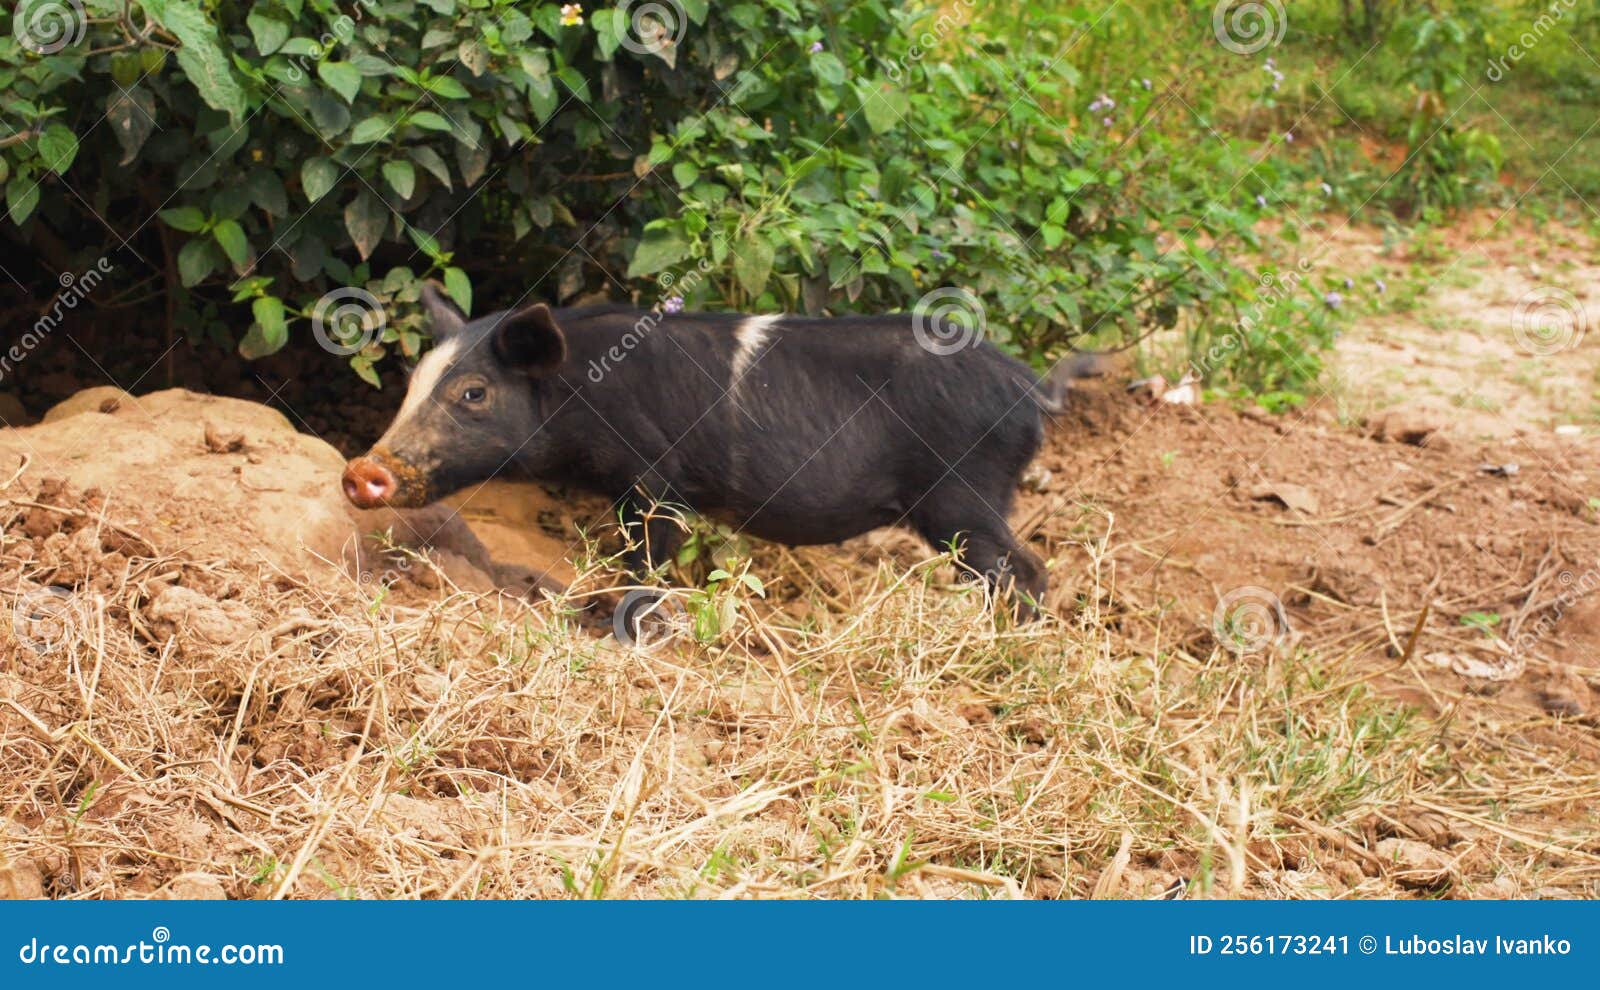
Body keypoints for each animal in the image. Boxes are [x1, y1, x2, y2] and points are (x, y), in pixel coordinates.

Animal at [342, 285, 1074, 618]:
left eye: (472, 393)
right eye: (412, 382)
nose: (361, 470)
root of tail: (1029, 388)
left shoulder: (655, 479)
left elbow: (649, 558)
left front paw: (623, 625)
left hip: (964, 494)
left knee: (1025, 568)